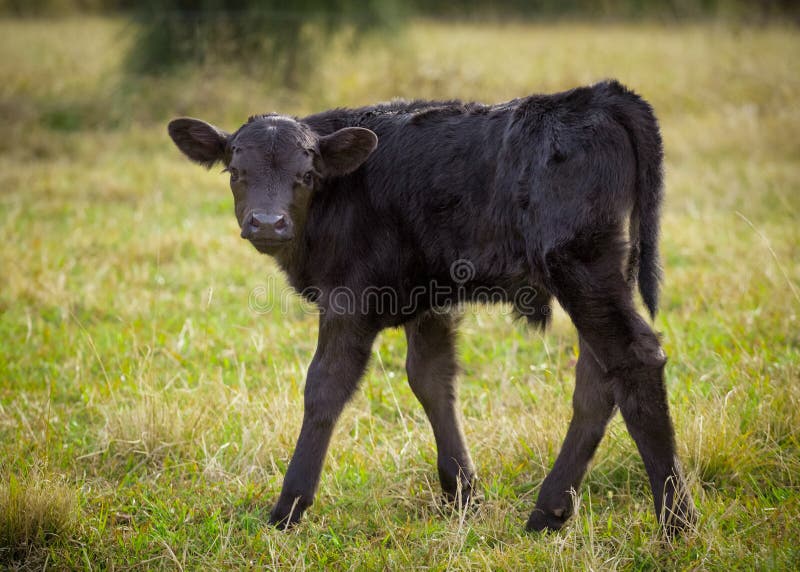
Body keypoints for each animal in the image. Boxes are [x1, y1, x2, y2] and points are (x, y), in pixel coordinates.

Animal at [167, 79, 696, 535]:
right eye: (237, 173)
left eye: (306, 175)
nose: (267, 223)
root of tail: (597, 96)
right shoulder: (428, 300)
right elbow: (431, 379)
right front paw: (464, 494)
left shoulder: (349, 299)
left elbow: (325, 387)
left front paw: (289, 507)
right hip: (599, 274)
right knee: (597, 380)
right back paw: (548, 512)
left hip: (582, 268)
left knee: (635, 358)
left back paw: (677, 522)